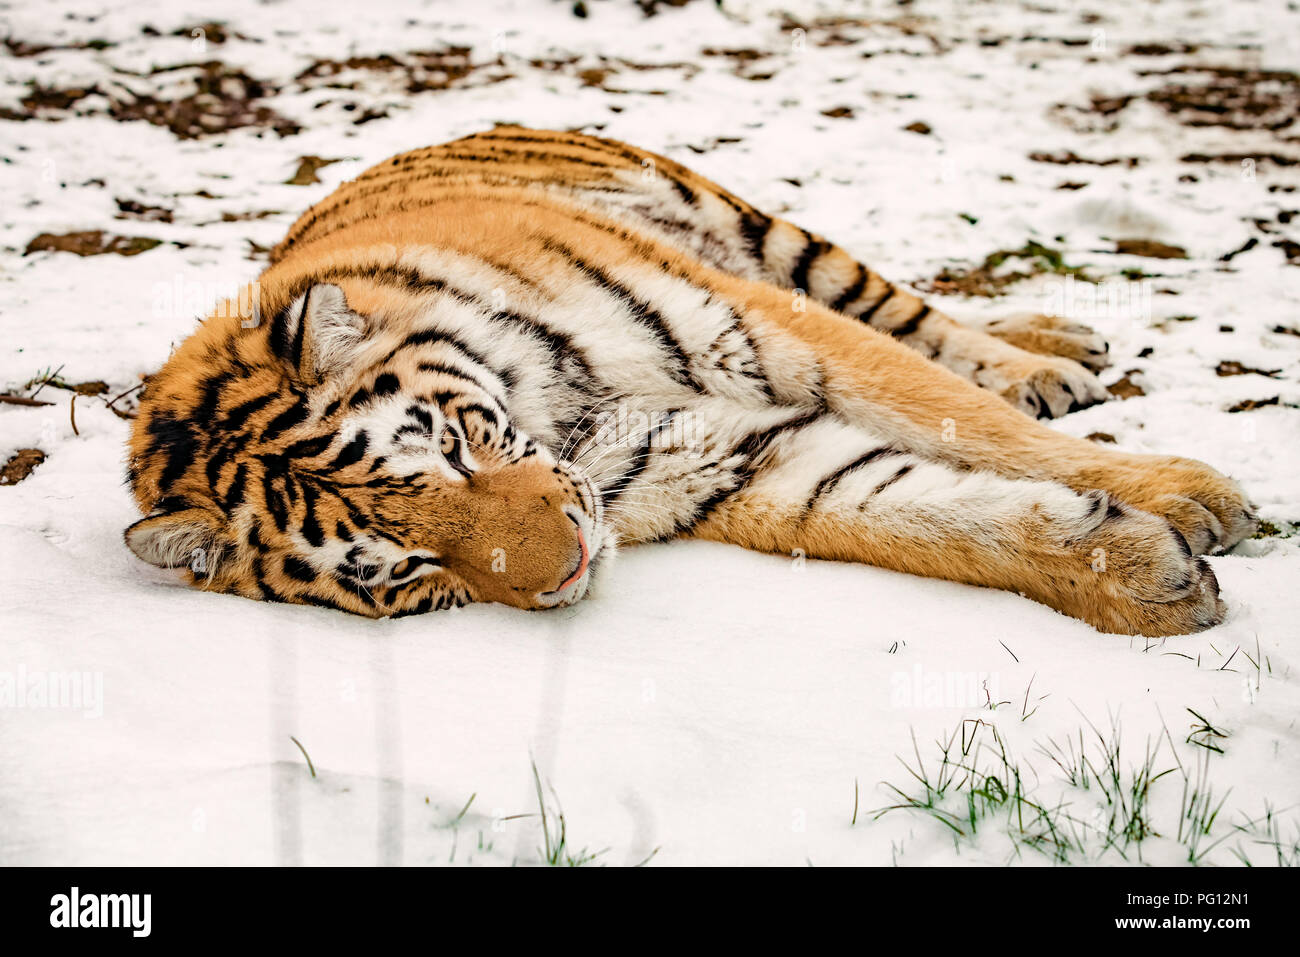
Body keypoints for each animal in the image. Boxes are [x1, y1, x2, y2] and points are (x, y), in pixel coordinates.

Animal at [125, 127, 1257, 636]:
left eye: (448, 448)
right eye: (404, 568)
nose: (570, 569)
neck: (557, 421)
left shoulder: (761, 327)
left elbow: (960, 418)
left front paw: (1189, 494)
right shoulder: (730, 462)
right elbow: (912, 512)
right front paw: (1142, 574)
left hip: (761, 237)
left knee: (913, 316)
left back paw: (1051, 354)